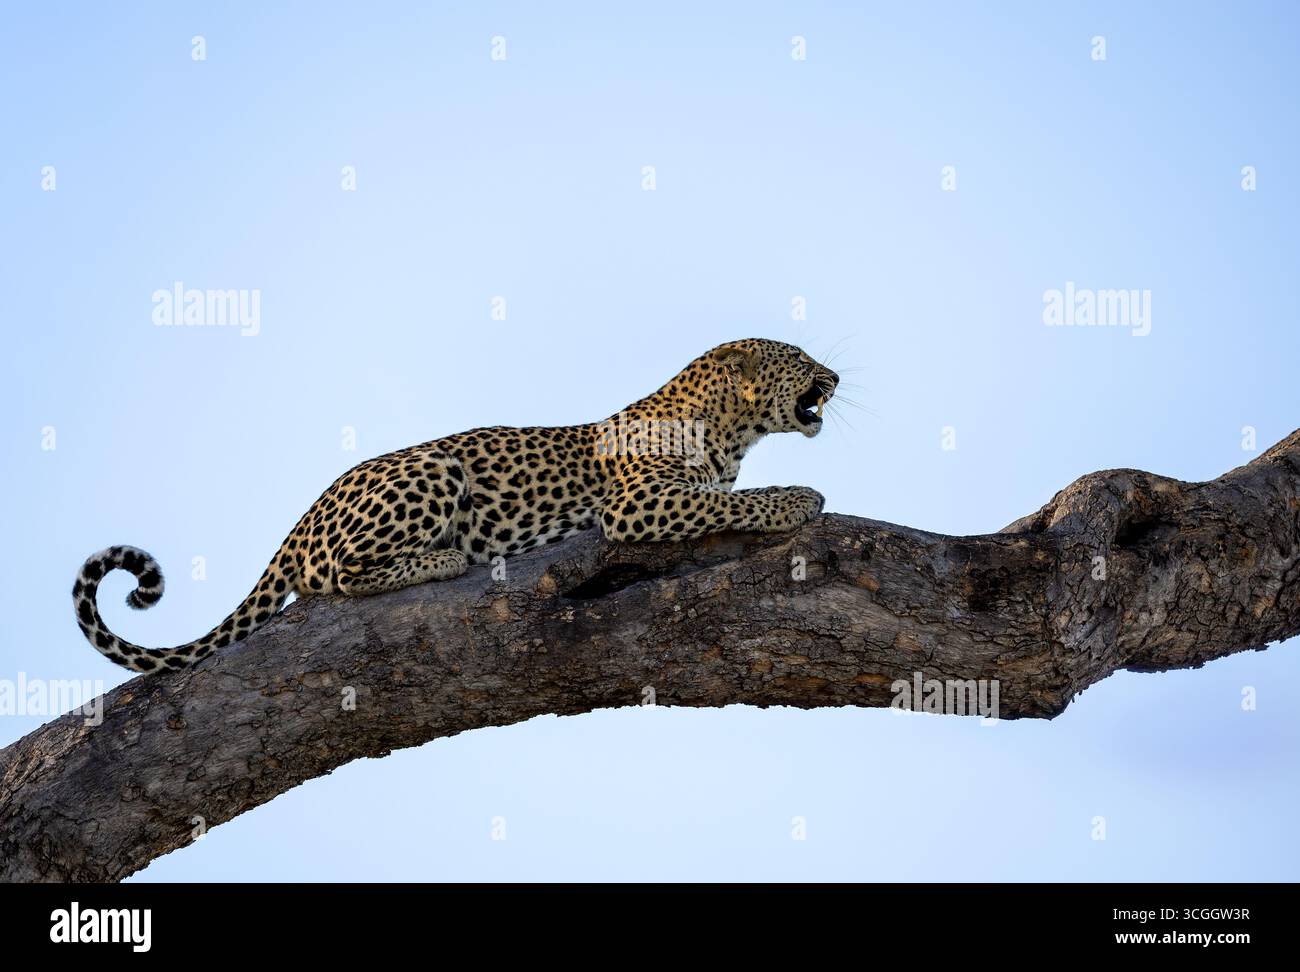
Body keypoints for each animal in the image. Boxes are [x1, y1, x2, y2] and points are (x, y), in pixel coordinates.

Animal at [73, 338, 840, 673]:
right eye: (802, 359)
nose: (834, 377)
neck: (730, 432)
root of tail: (302, 518)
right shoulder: (636, 502)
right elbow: (730, 503)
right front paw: (799, 498)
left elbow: (722, 498)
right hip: (433, 467)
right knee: (342, 574)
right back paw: (442, 559)